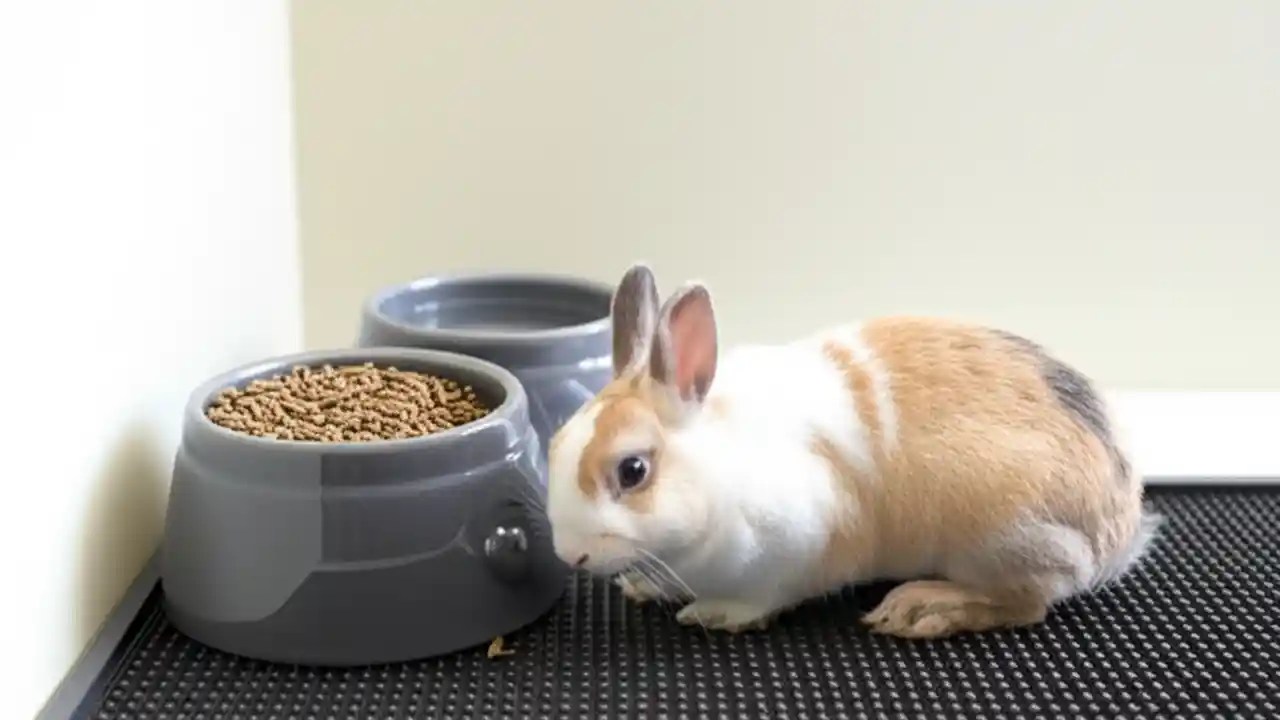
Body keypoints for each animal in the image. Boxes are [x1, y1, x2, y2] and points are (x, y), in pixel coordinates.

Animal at [545, 264, 1158, 638]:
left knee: (1027, 604)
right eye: (553, 446)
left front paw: (714, 613)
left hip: (1002, 538)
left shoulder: (801, 546)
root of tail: (1118, 531)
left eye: (633, 470)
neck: (719, 465)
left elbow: (767, 594)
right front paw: (642, 586)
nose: (570, 556)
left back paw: (921, 608)